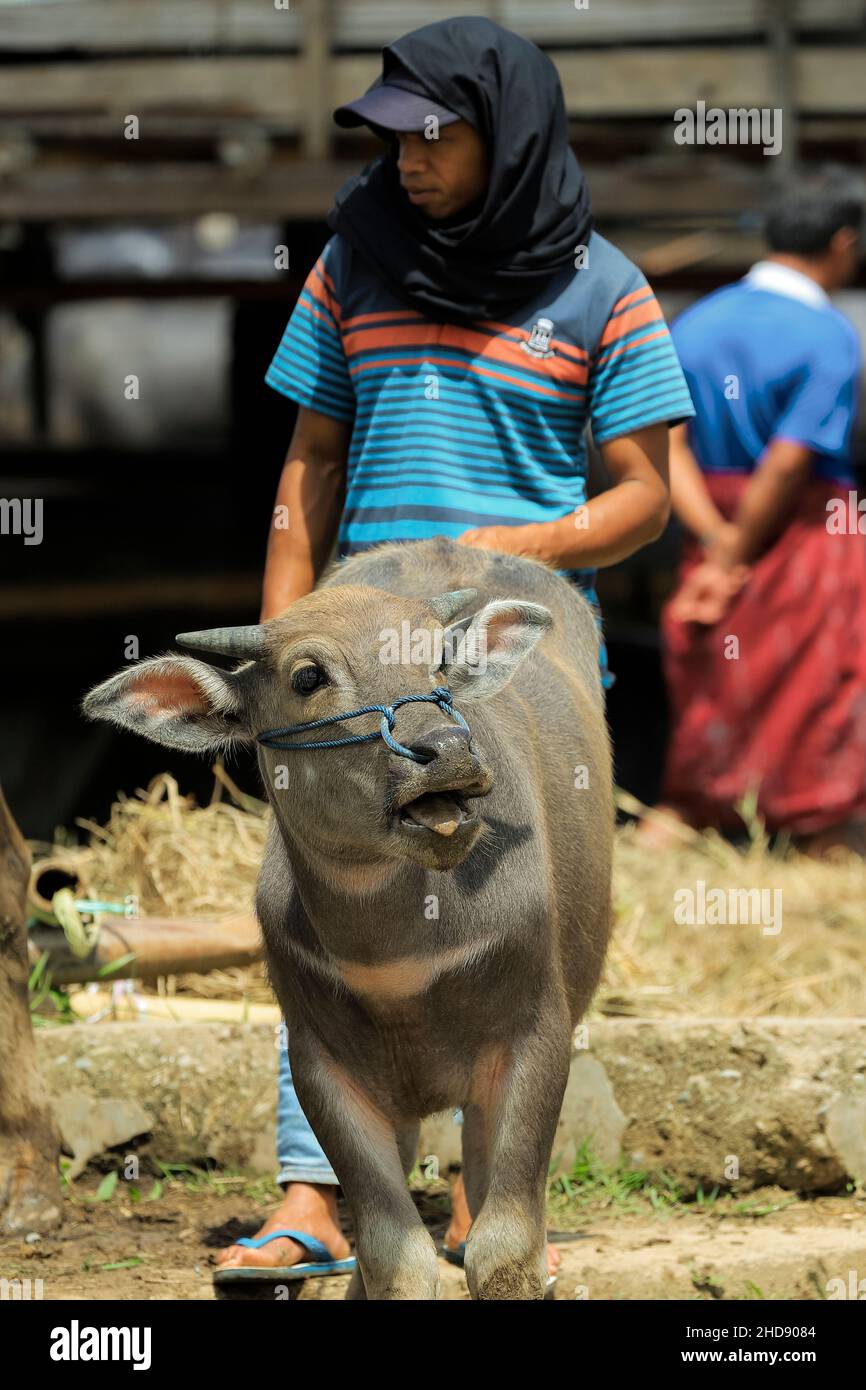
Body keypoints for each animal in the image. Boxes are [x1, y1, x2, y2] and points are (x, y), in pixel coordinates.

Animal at [82, 536, 614, 1300]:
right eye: (309, 675)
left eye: (438, 660)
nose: (446, 751)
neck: (398, 951)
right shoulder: (322, 1064)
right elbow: (394, 1254)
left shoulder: (537, 1031)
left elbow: (504, 1249)